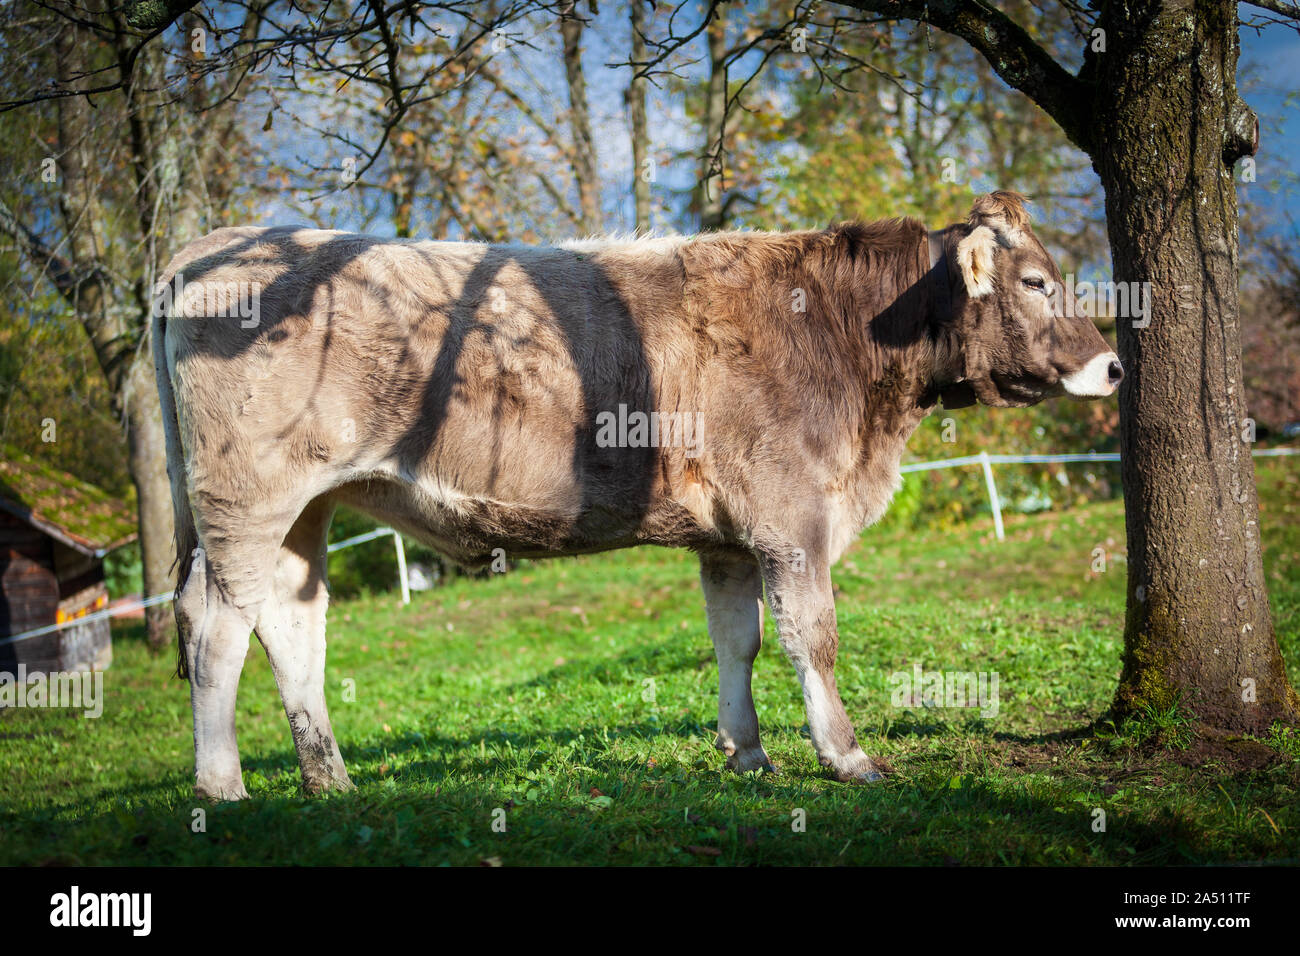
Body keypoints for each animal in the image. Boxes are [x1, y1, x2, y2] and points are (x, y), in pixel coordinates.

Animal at [152, 190, 1121, 800]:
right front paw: (847, 759)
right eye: (1036, 282)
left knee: (289, 630)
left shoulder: (730, 536)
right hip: (246, 497)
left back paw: (329, 778)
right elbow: (813, 638)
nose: (1113, 364)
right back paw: (223, 785)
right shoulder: (791, 519)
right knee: (216, 626)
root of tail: (202, 250)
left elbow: (738, 643)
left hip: (305, 509)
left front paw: (747, 754)